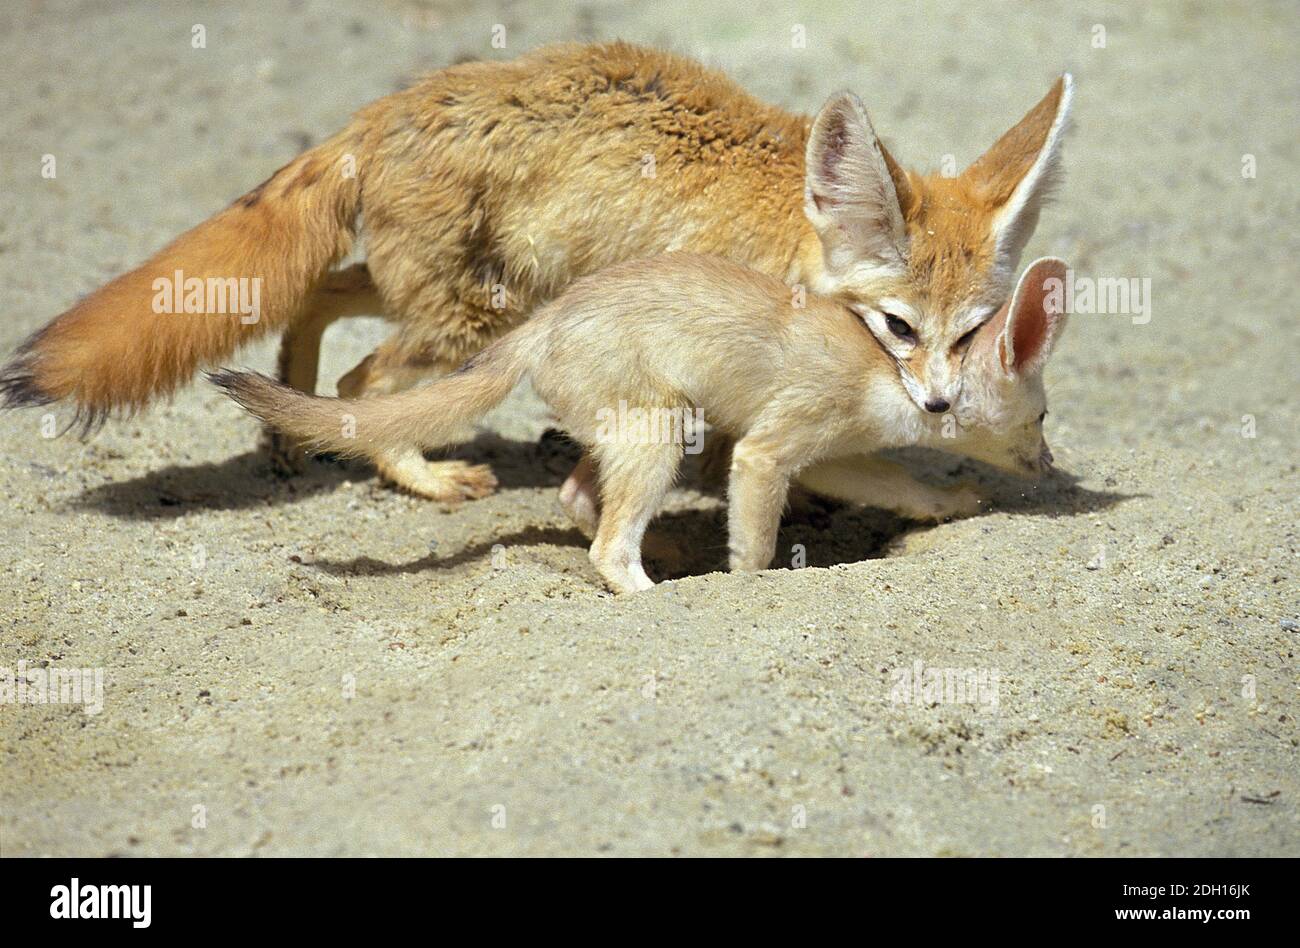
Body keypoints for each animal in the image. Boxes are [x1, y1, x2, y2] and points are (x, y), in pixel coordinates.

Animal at [0, 42, 1072, 503]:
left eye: (971, 334)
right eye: (899, 328)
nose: (940, 405)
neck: (782, 225)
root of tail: (383, 112)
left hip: (446, 292)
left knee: (315, 303)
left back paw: (289, 431)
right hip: (466, 319)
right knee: (364, 379)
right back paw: (419, 476)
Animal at [210, 252, 1069, 593]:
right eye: (1044, 414)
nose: (1051, 466)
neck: (889, 372)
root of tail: (543, 323)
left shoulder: (830, 455)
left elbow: (901, 487)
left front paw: (953, 502)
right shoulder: (768, 450)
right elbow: (755, 545)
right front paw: (745, 584)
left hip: (632, 428)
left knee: (578, 501)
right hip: (660, 430)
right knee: (604, 547)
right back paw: (654, 592)